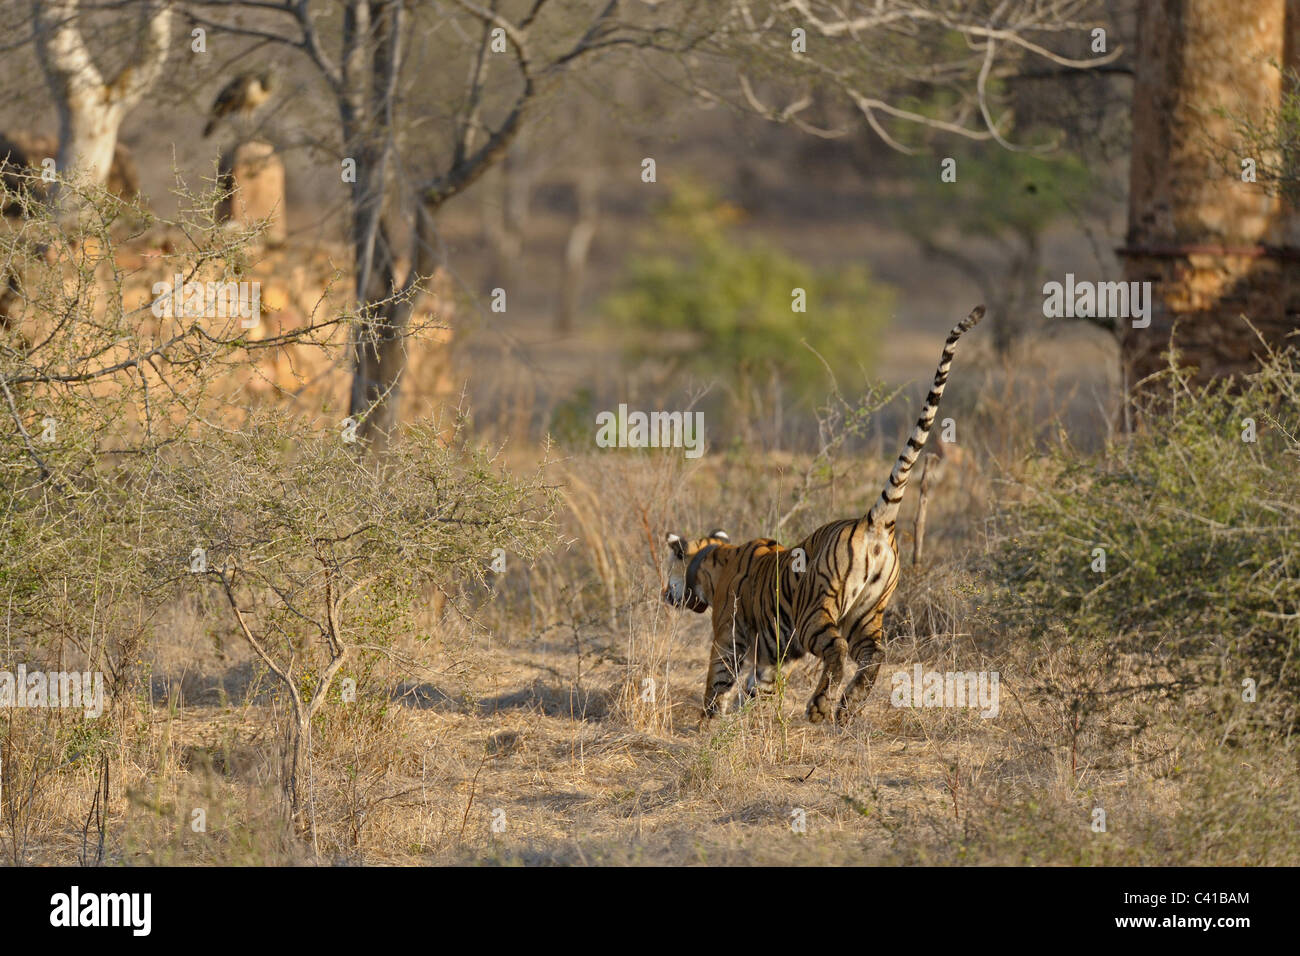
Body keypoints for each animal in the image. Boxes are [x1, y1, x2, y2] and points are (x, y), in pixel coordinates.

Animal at [662, 305, 984, 725]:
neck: (713, 561)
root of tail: (874, 521)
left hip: (814, 614)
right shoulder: (770, 655)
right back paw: (849, 706)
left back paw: (819, 706)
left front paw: (707, 722)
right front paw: (748, 719)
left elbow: (717, 682)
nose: (663, 594)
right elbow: (758, 687)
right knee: (874, 656)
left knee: (838, 651)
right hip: (868, 614)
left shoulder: (728, 638)